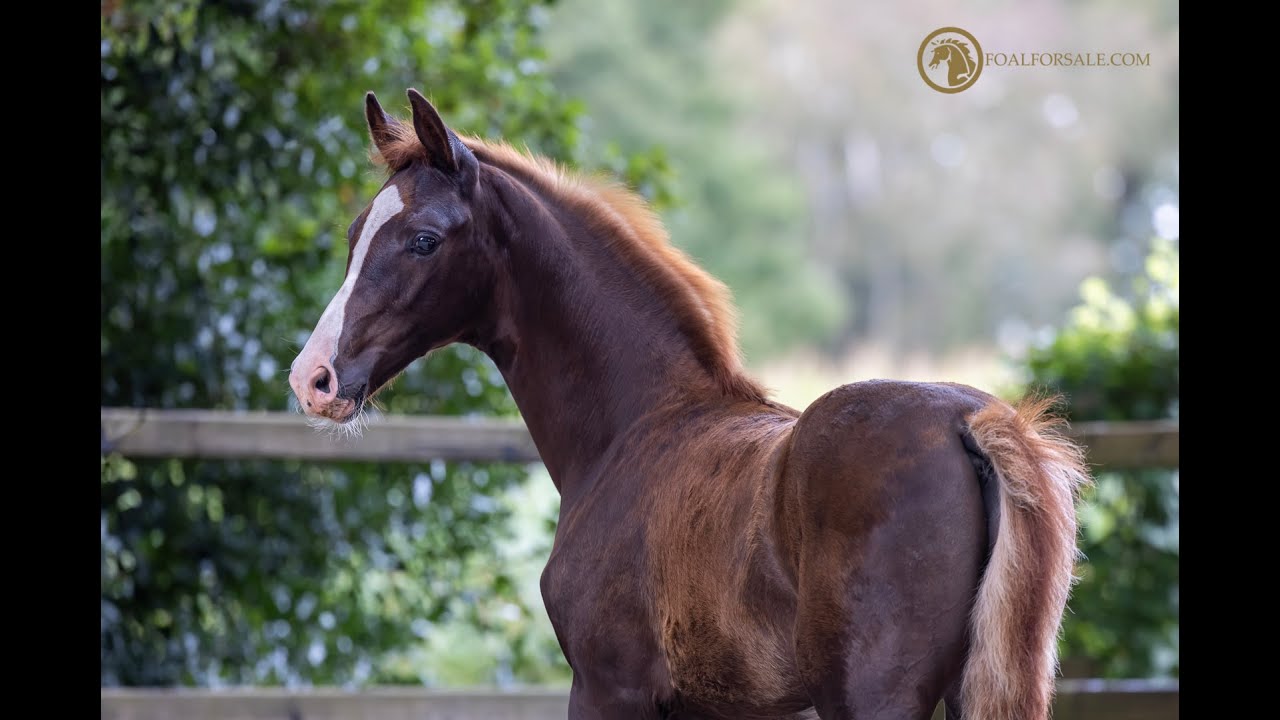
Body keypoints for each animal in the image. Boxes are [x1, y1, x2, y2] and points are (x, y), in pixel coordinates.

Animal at [288, 88, 1089, 720]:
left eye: (423, 240)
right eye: (355, 234)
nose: (312, 379)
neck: (637, 427)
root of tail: (970, 420)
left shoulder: (608, 689)